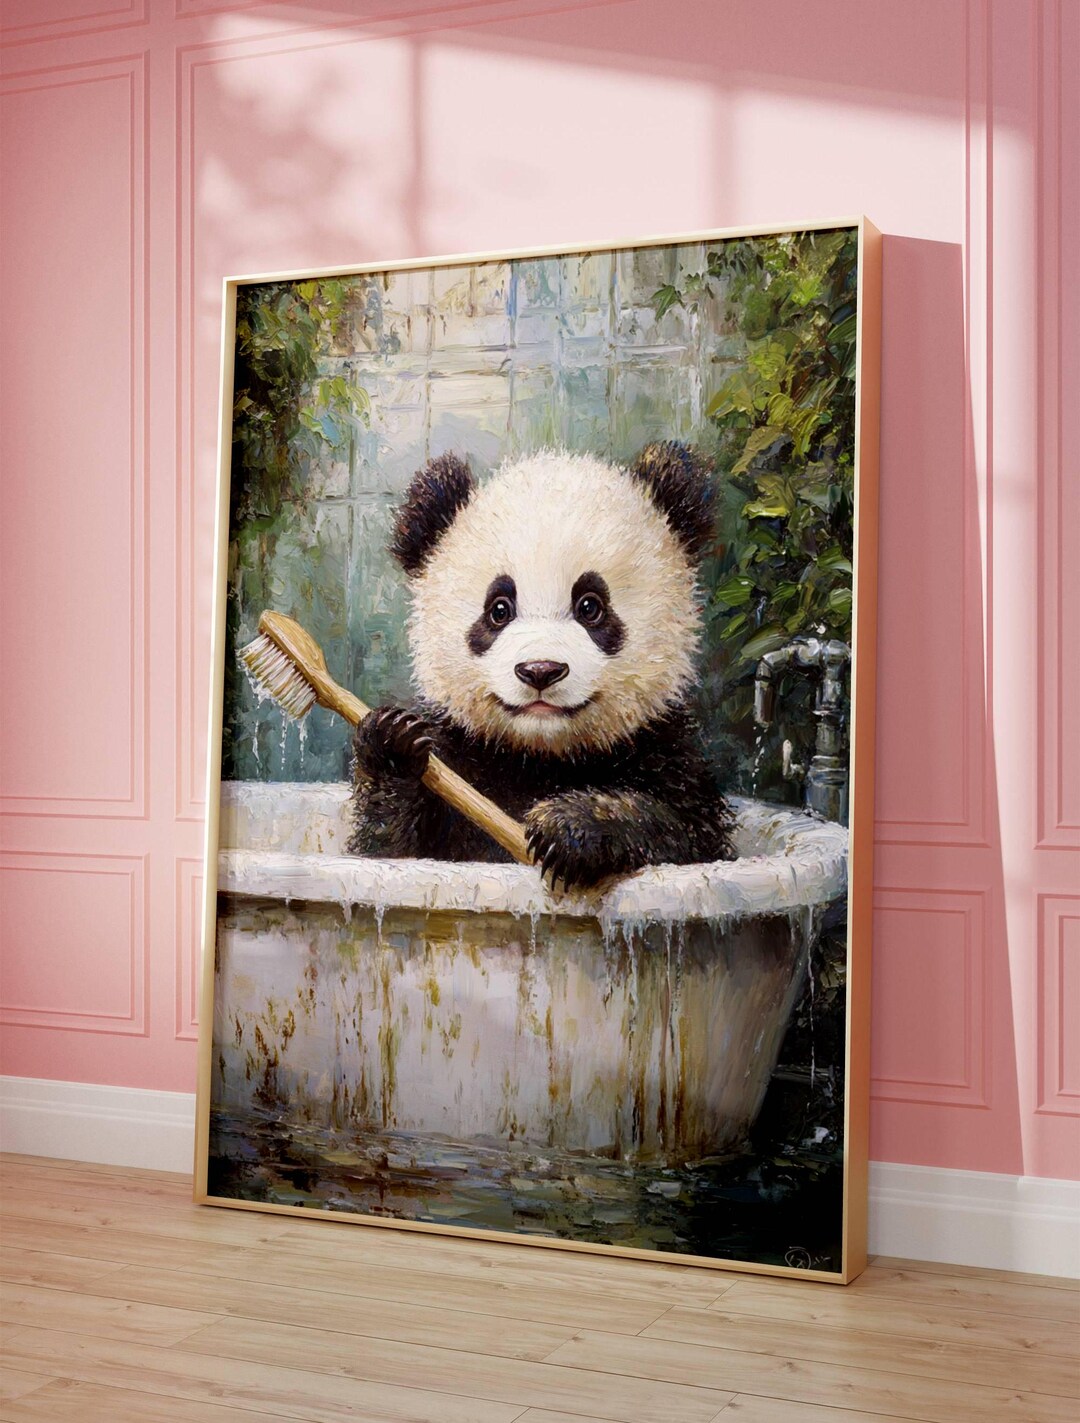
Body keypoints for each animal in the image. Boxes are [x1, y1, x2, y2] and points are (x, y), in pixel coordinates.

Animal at [347, 442, 734, 890]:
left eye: (590, 606)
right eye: (499, 609)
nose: (540, 670)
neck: (540, 757)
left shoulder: (666, 754)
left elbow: (684, 835)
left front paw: (571, 826)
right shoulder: (461, 755)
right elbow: (388, 849)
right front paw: (392, 742)